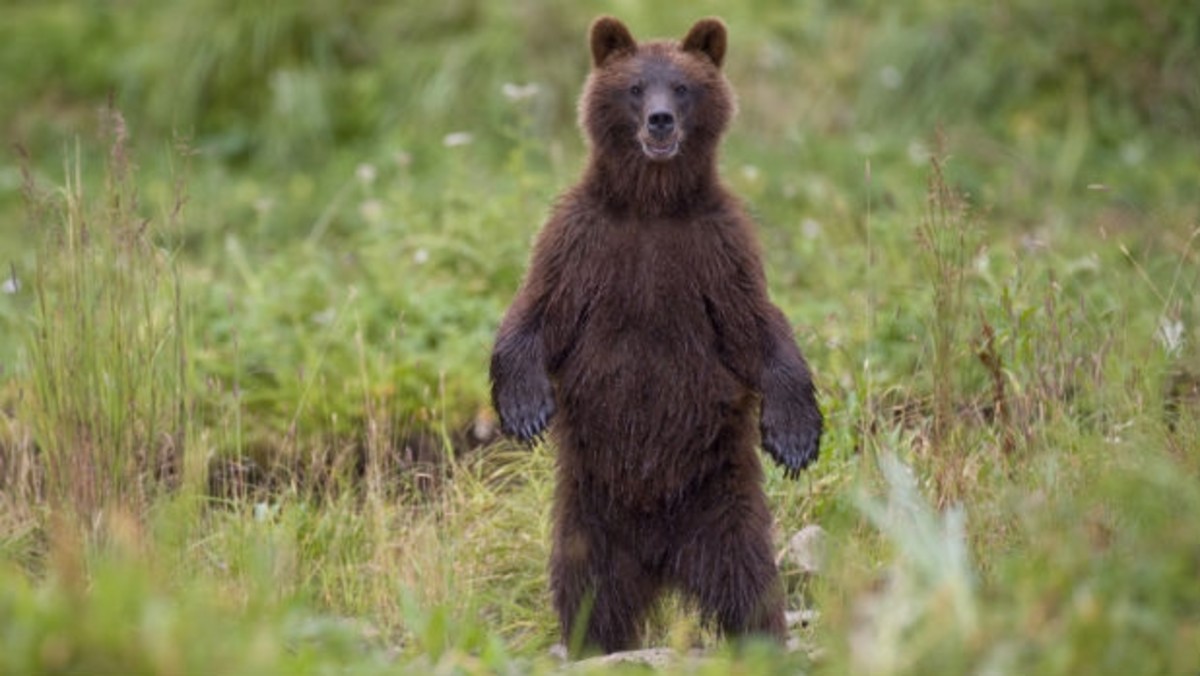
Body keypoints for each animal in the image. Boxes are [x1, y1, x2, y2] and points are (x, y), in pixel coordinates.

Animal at [489, 16, 823, 655]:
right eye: (636, 87)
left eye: (683, 87)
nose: (661, 120)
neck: (651, 204)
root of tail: (662, 561)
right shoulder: (582, 243)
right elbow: (536, 313)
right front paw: (524, 408)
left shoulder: (715, 251)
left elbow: (758, 329)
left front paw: (795, 435)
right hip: (588, 514)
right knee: (589, 590)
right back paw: (594, 645)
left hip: (722, 503)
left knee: (749, 583)